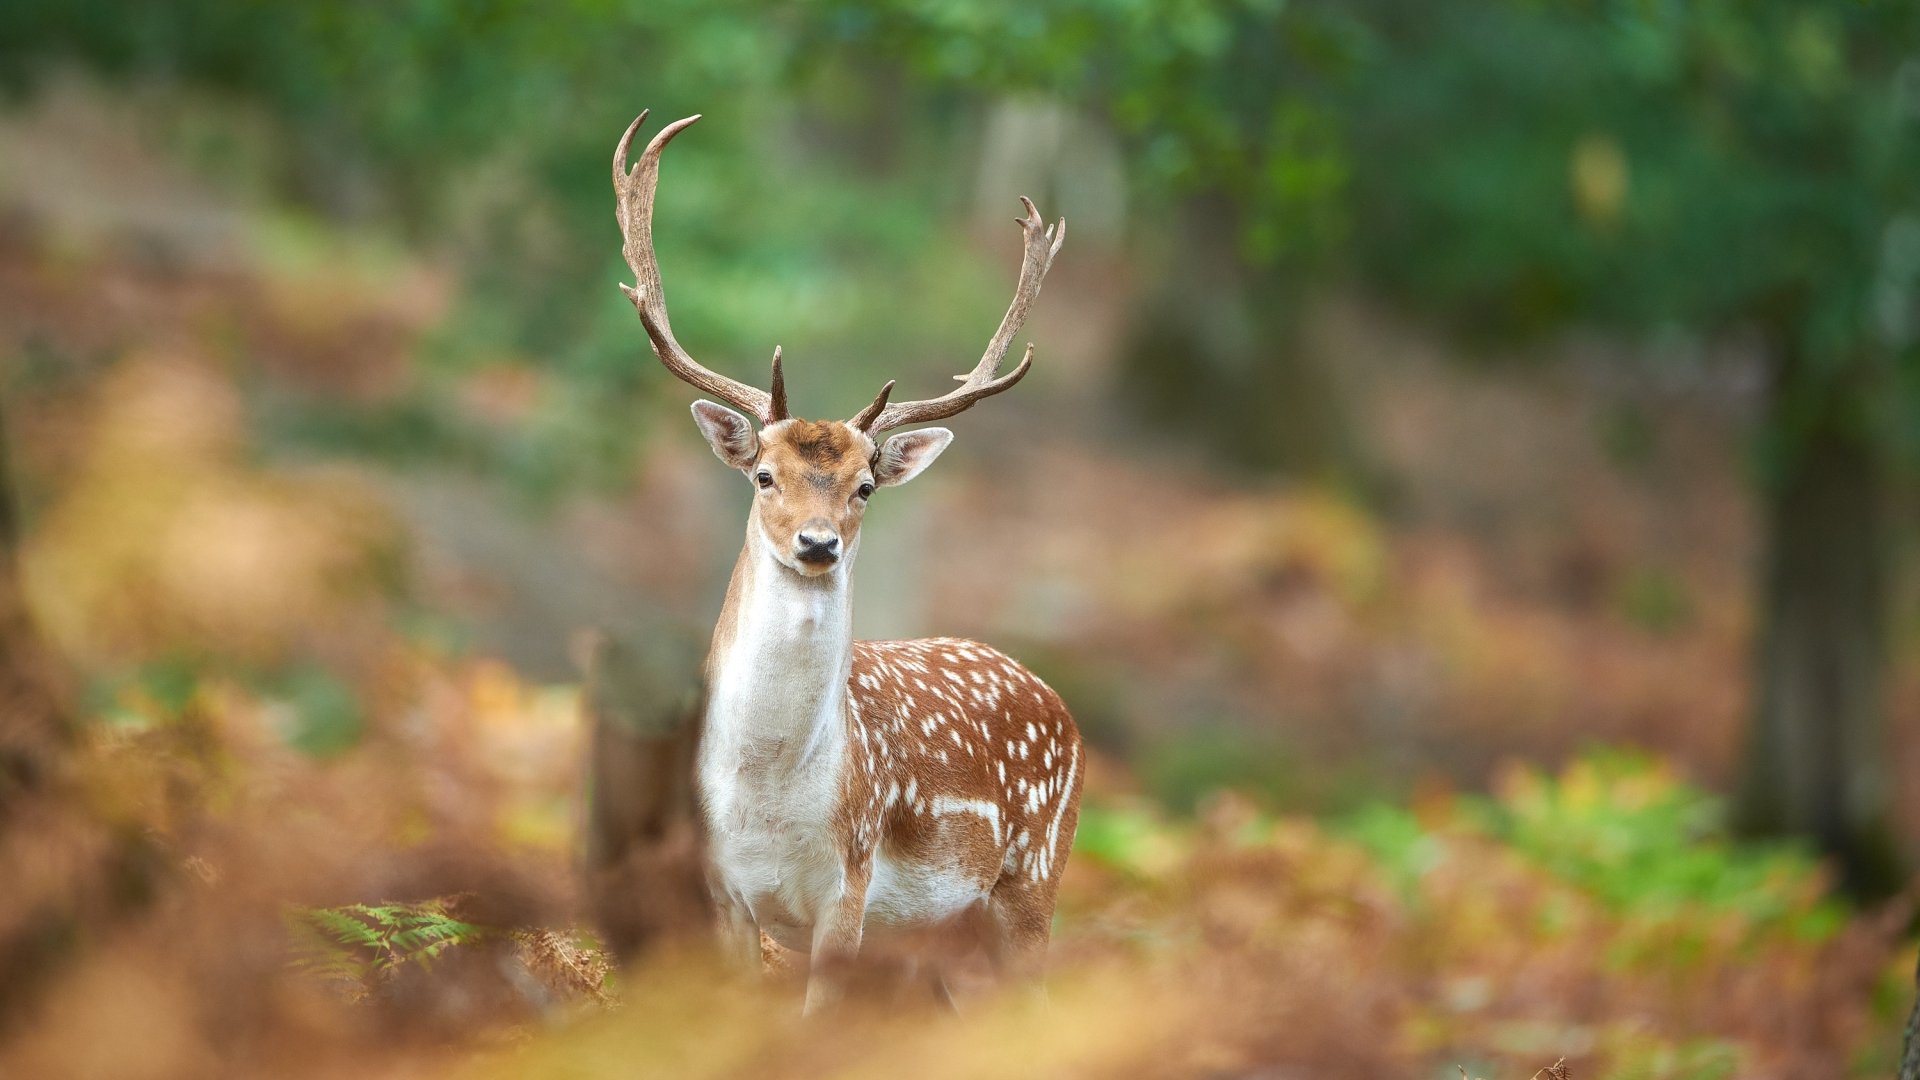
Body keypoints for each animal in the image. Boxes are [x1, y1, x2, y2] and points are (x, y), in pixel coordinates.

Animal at [611, 110, 1083, 1012]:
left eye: (865, 485)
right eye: (764, 475)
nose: (818, 543)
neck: (770, 801)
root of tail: (1064, 710)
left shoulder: (850, 886)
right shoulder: (724, 892)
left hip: (1034, 880)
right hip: (954, 941)